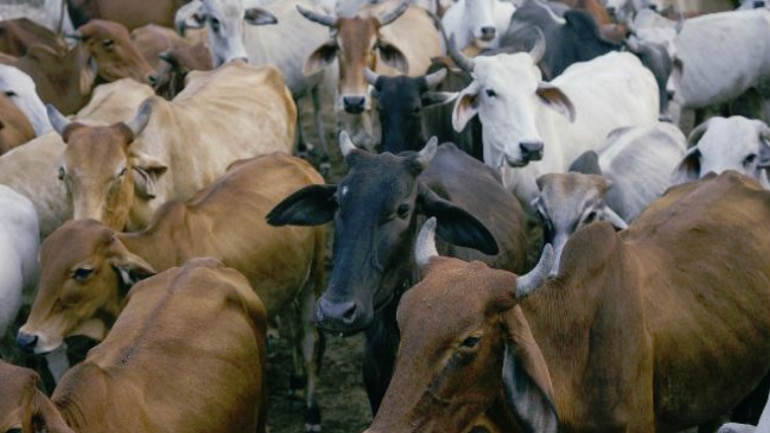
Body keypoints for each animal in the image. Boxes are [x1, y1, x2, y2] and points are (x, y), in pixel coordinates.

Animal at [18, 153, 326, 432]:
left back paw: (312, 409)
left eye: (83, 271)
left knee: (308, 338)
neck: (160, 249)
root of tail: (296, 161)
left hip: (314, 278)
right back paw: (296, 383)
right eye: (43, 264)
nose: (26, 338)